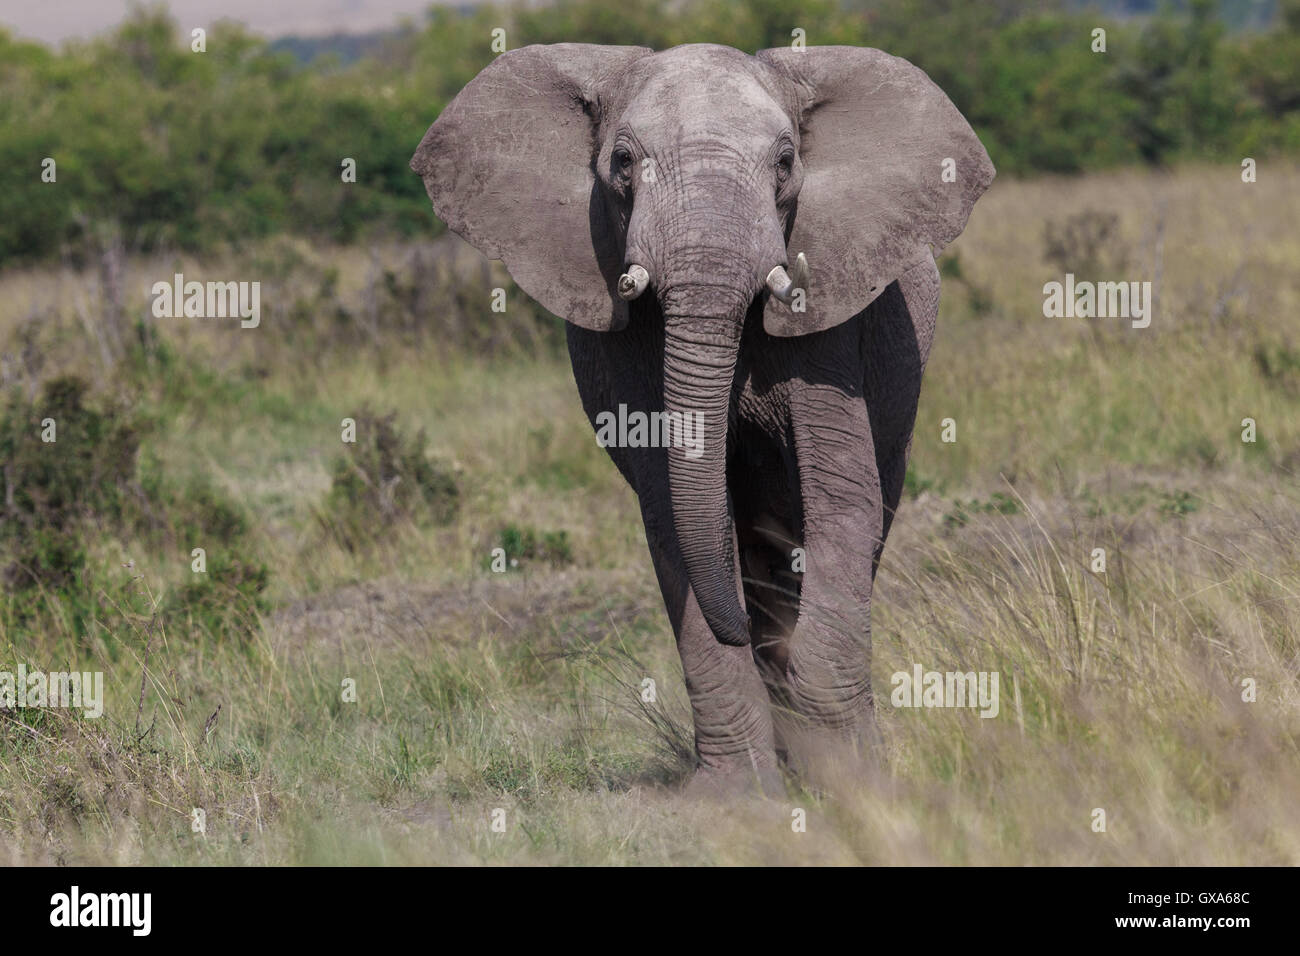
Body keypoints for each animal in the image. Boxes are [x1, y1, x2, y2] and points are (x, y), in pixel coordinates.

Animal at [412, 42, 993, 788]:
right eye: (622, 162)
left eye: (786, 162)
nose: (743, 629)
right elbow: (671, 513)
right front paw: (739, 793)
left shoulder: (829, 317)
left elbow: (841, 497)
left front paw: (850, 780)